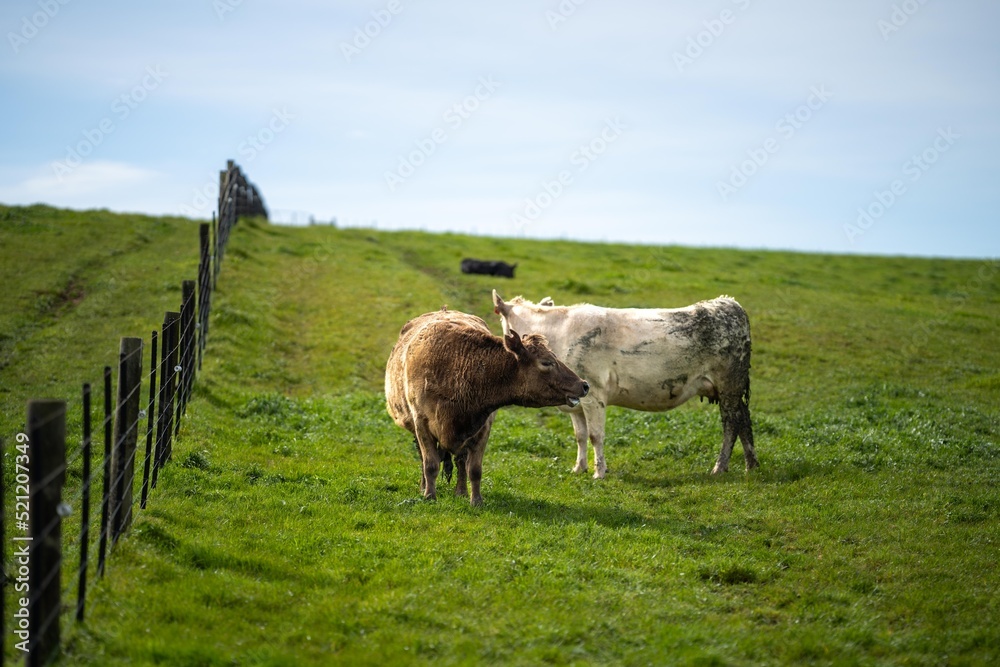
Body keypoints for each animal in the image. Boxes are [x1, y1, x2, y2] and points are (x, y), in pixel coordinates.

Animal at [385, 308, 589, 505]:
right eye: (547, 362)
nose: (584, 384)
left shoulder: (482, 427)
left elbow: (474, 469)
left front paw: (476, 500)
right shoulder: (421, 424)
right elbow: (430, 464)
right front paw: (429, 496)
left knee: (461, 461)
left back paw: (461, 492)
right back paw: (424, 487)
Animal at [492, 290, 757, 478]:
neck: (560, 335)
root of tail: (729, 303)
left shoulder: (594, 394)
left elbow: (595, 435)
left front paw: (599, 472)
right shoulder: (575, 401)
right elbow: (580, 435)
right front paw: (579, 468)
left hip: (729, 385)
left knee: (732, 423)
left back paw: (720, 467)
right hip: (732, 389)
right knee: (744, 420)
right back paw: (751, 465)